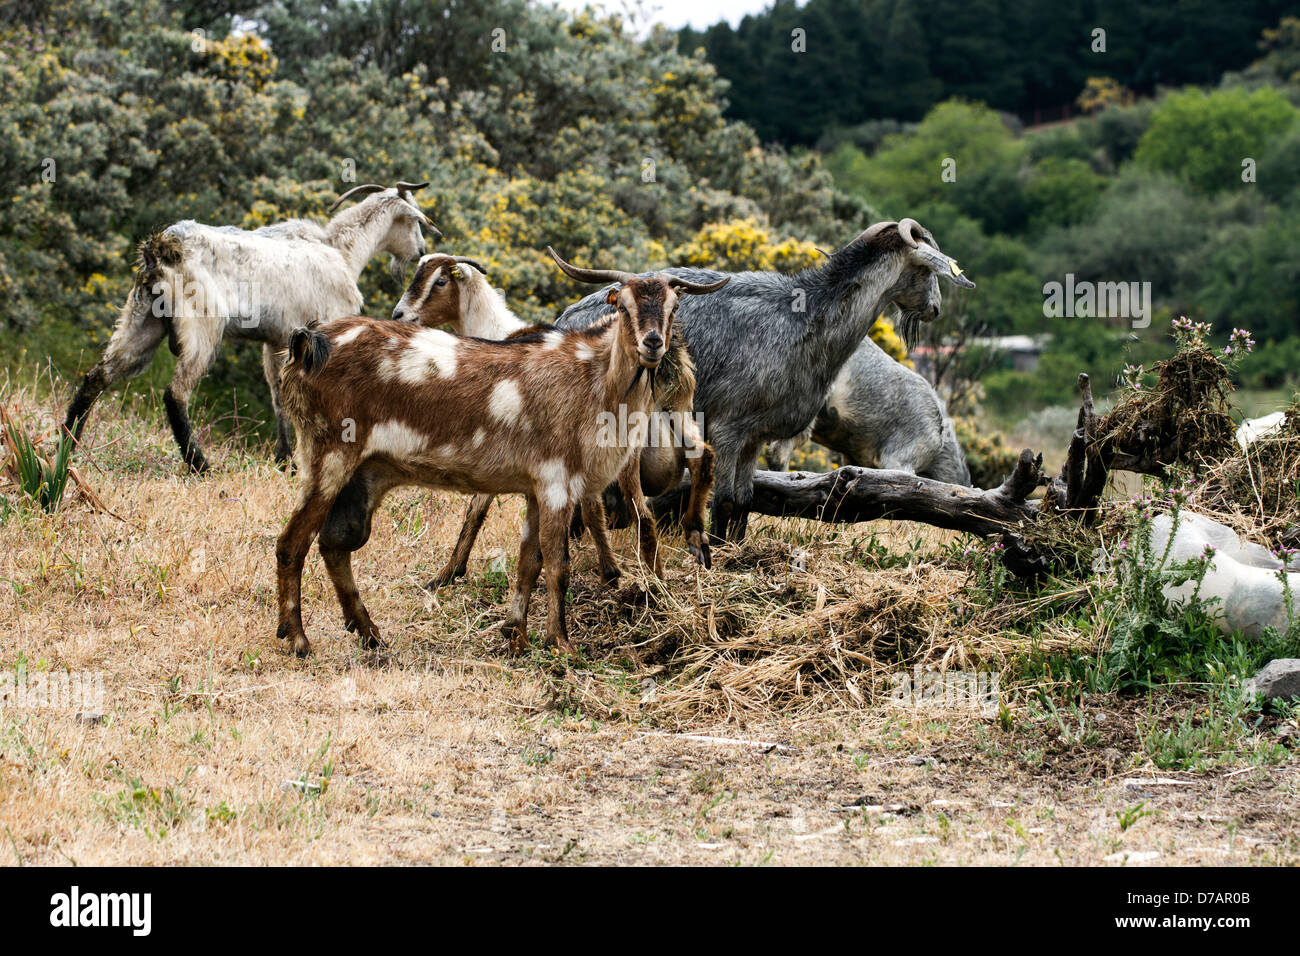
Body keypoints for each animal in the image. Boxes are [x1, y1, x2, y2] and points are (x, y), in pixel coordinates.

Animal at [63, 182, 439, 472]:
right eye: (414, 222)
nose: (421, 248)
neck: (340, 250)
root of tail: (161, 247)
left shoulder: (276, 340)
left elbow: (278, 393)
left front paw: (285, 461)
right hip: (202, 325)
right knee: (175, 393)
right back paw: (200, 465)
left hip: (141, 319)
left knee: (97, 377)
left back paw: (68, 443)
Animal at [378, 252, 716, 588]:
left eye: (440, 281)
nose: (400, 315)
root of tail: (666, 357)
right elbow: (591, 511)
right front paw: (609, 572)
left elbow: (476, 508)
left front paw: (448, 573)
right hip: (680, 410)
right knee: (701, 457)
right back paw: (694, 543)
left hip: (631, 446)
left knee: (643, 512)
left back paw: (656, 579)